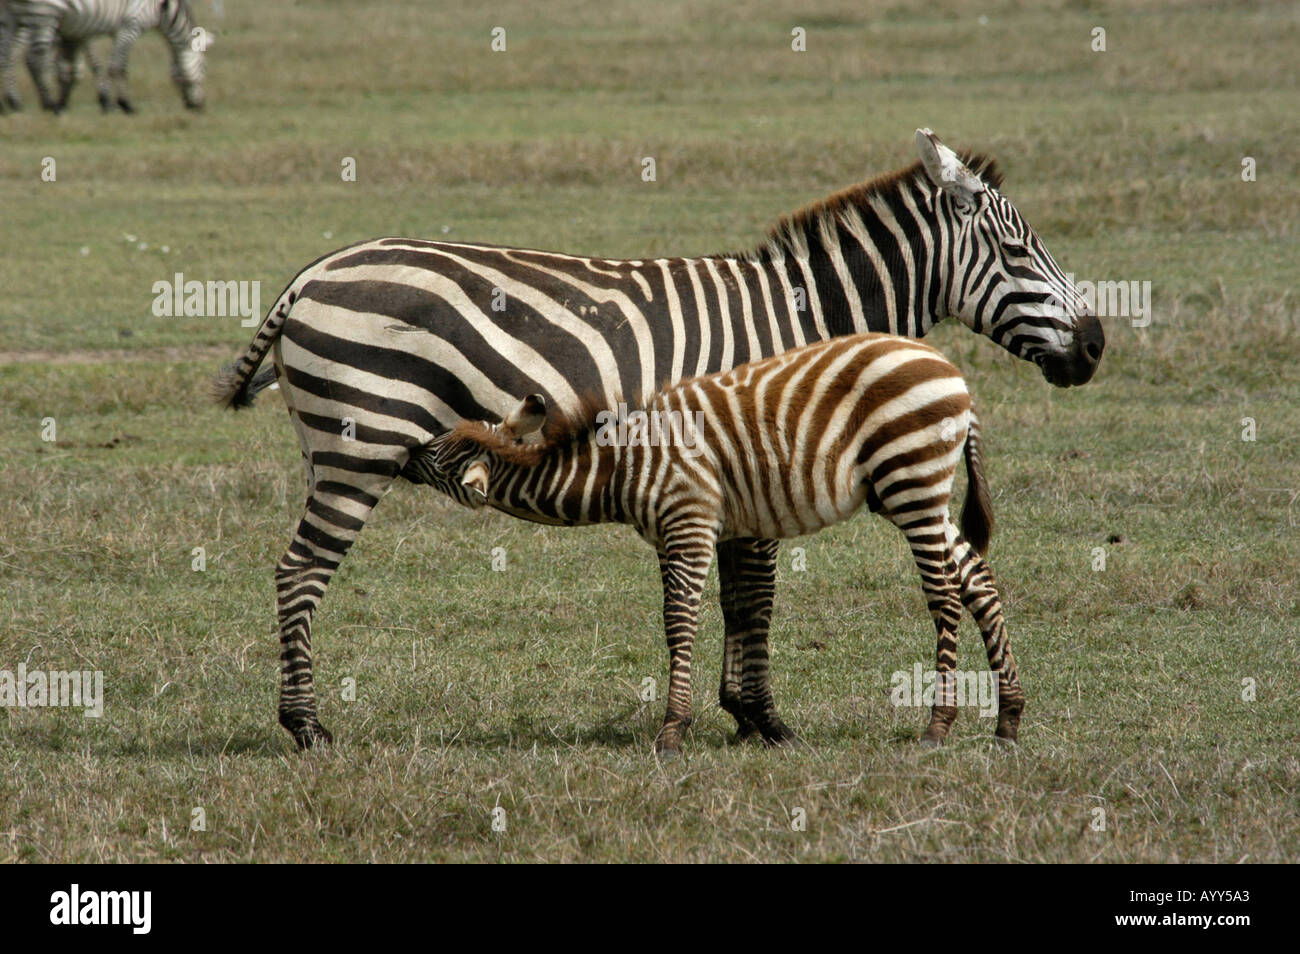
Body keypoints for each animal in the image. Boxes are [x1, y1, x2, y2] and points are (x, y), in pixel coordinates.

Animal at [3, 0, 204, 113]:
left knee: (5, 55)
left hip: (13, 17)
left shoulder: (77, 32)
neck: (165, 10)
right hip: (44, 15)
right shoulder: (131, 25)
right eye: (204, 68)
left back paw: (11, 102)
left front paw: (65, 101)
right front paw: (123, 104)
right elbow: (117, 67)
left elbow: (71, 67)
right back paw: (46, 104)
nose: (199, 107)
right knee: (32, 59)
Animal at [427, 333, 1020, 756]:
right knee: (978, 579)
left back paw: (938, 726)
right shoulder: (682, 531)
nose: (406, 450)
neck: (621, 467)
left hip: (912, 479)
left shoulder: (687, 520)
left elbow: (679, 621)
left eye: (433, 459)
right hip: (912, 489)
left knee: (944, 594)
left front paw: (672, 732)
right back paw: (1009, 719)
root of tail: (949, 370)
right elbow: (722, 609)